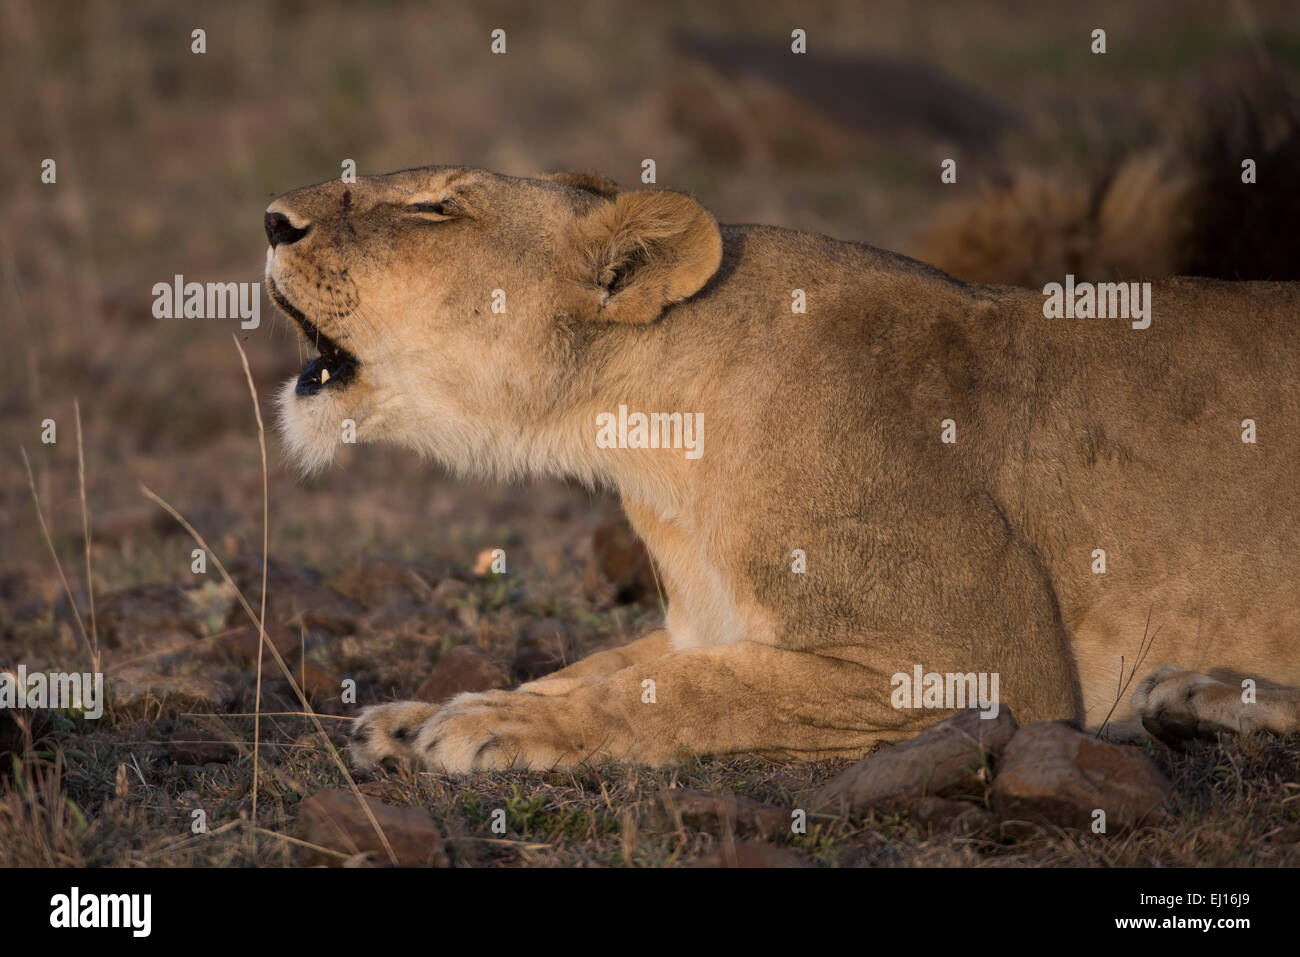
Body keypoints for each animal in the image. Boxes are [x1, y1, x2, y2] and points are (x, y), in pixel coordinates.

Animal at [262, 165, 1300, 773]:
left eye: (433, 207)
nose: (272, 218)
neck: (645, 431)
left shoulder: (986, 661)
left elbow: (692, 691)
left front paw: (496, 728)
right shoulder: (704, 621)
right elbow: (601, 666)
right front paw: (424, 713)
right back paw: (1194, 698)